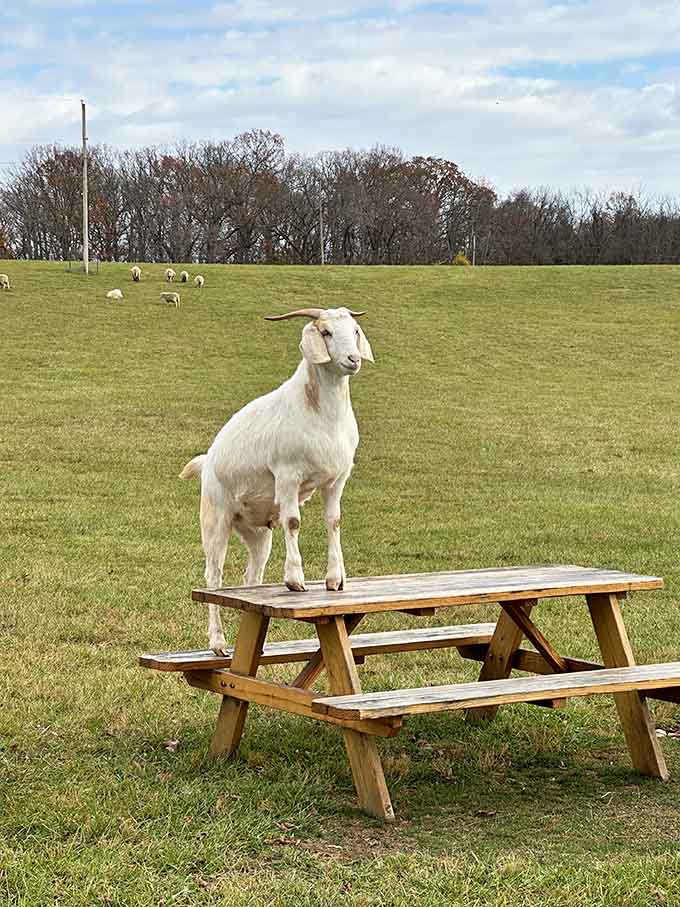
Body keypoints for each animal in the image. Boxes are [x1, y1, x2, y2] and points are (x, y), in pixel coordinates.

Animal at [180, 307, 374, 654]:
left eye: (354, 330)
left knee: (251, 577)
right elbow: (294, 522)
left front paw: (335, 579)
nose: (353, 359)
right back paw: (218, 642)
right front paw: (295, 580)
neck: (323, 416)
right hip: (215, 519)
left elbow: (334, 521)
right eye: (325, 332)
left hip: (257, 532)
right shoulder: (287, 475)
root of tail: (207, 461)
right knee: (213, 576)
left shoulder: (336, 479)